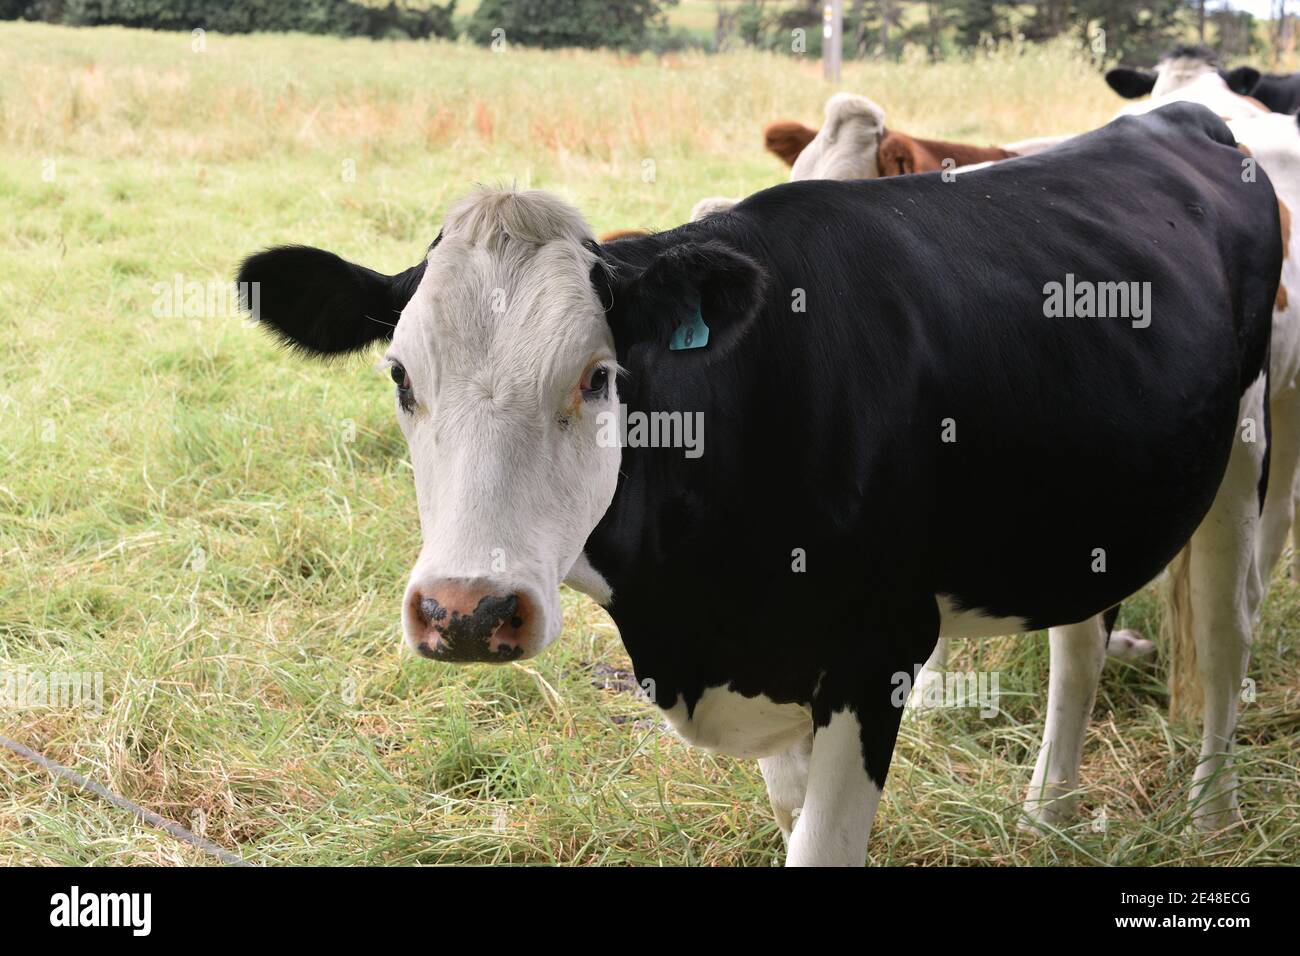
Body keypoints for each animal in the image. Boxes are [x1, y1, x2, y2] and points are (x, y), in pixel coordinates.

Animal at [238, 103, 1278, 864]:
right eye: (401, 377)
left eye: (598, 377)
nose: (465, 611)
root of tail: (1177, 116)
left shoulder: (878, 648)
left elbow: (822, 845)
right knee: (1080, 640)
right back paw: (1048, 813)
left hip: (1246, 444)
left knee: (1227, 635)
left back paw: (1214, 816)